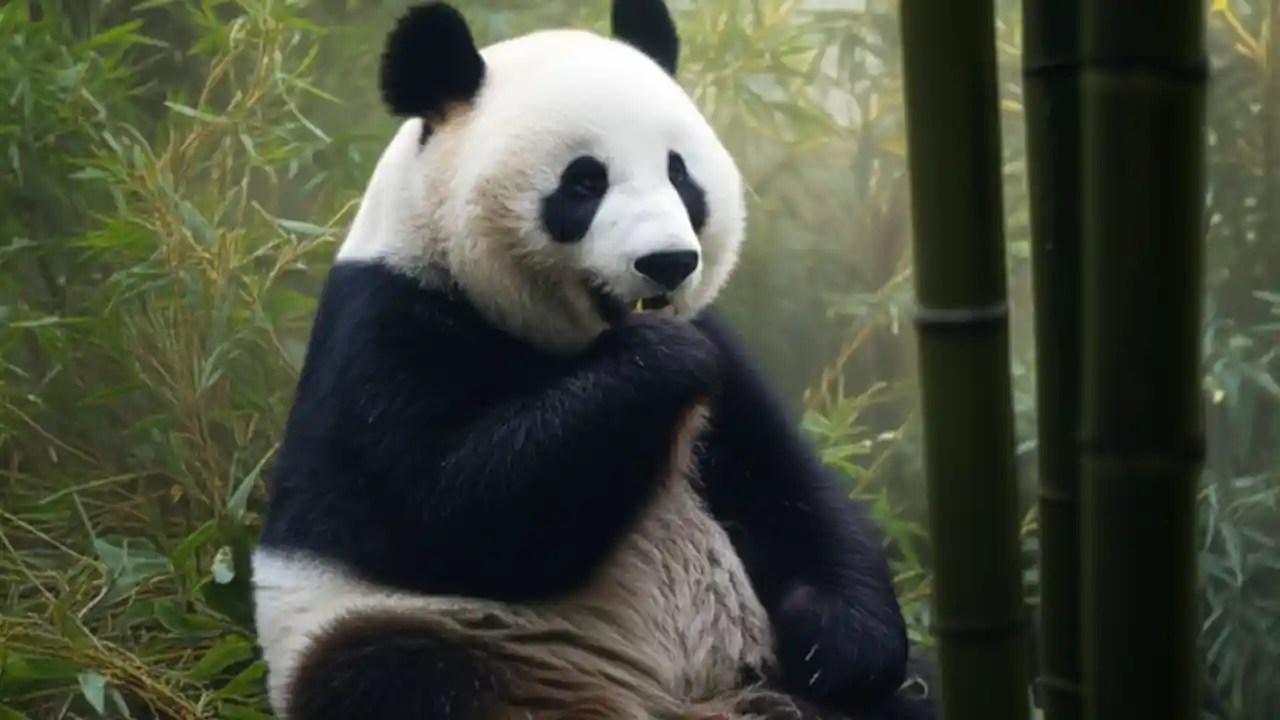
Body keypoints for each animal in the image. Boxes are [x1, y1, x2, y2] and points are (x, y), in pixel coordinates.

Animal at [251, 1, 938, 719]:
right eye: (584, 182)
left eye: (680, 174)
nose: (669, 261)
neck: (575, 341)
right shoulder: (386, 330)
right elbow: (459, 510)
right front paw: (660, 359)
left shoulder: (724, 362)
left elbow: (789, 487)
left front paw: (839, 646)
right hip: (423, 633)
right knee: (401, 676)